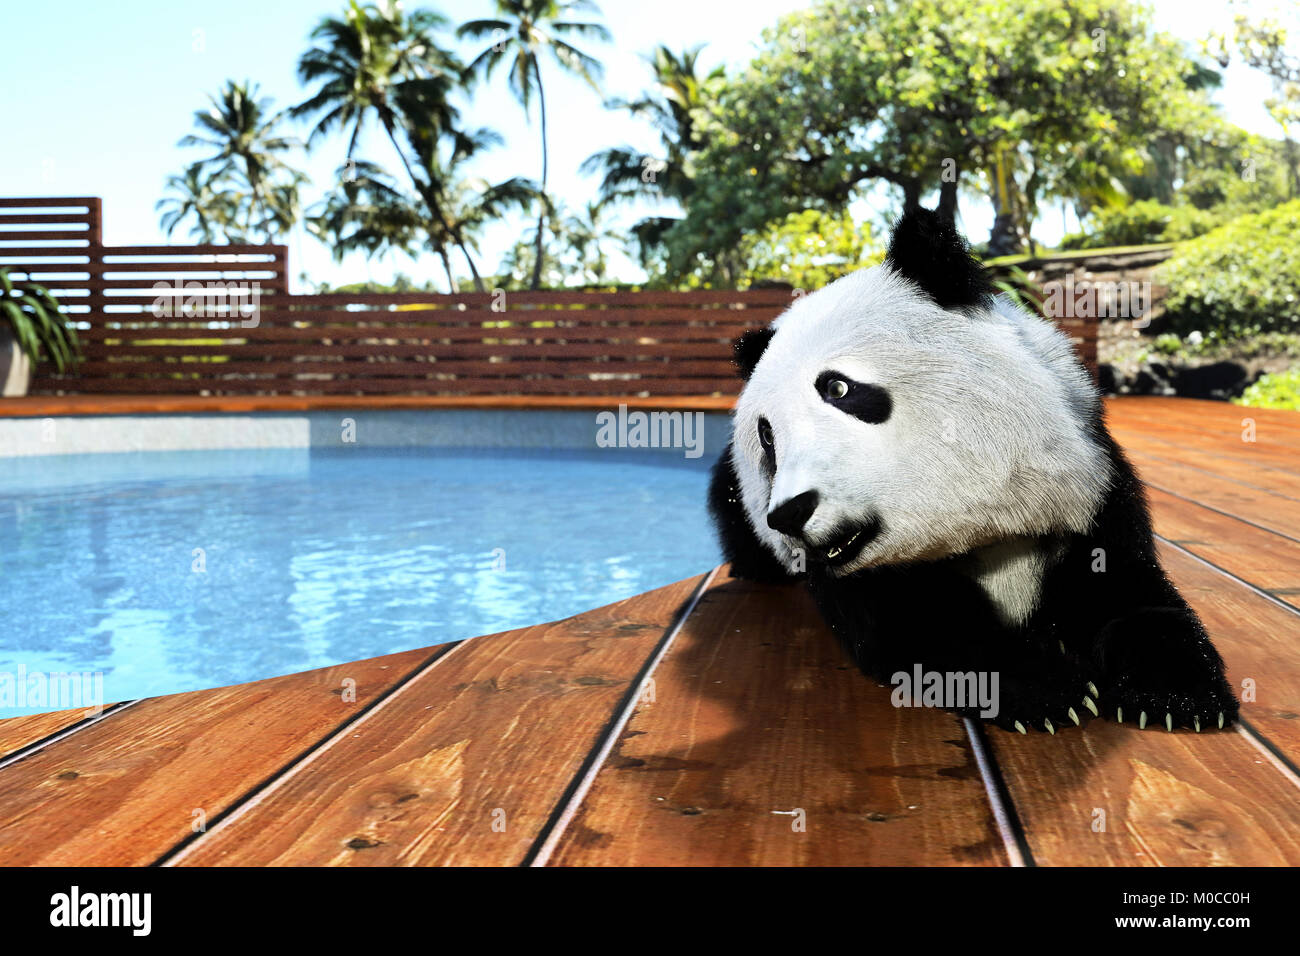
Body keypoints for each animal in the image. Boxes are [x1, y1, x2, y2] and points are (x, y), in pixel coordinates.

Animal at [708, 207, 1238, 735]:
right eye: (768, 439)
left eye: (838, 388)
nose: (791, 513)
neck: (984, 530)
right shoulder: (860, 573)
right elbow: (922, 625)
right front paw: (1049, 689)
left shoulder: (1091, 483)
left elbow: (1127, 591)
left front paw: (1176, 692)